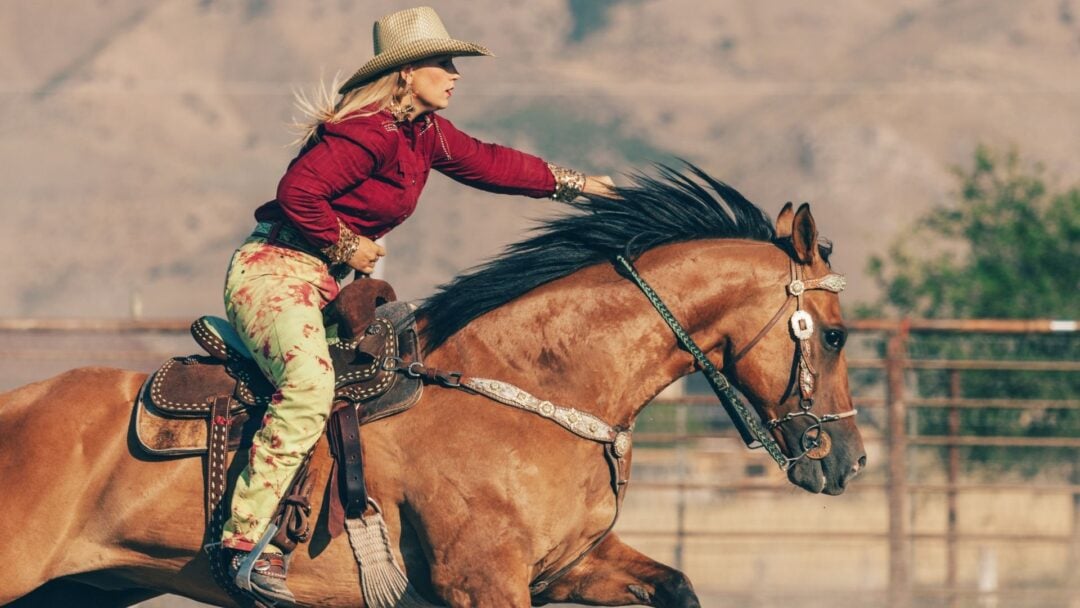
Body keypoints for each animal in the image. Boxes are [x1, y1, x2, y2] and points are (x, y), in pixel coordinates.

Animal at [0, 165, 865, 607]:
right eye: (835, 333)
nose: (850, 460)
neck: (528, 385)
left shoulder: (568, 566)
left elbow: (678, 586)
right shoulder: (481, 583)